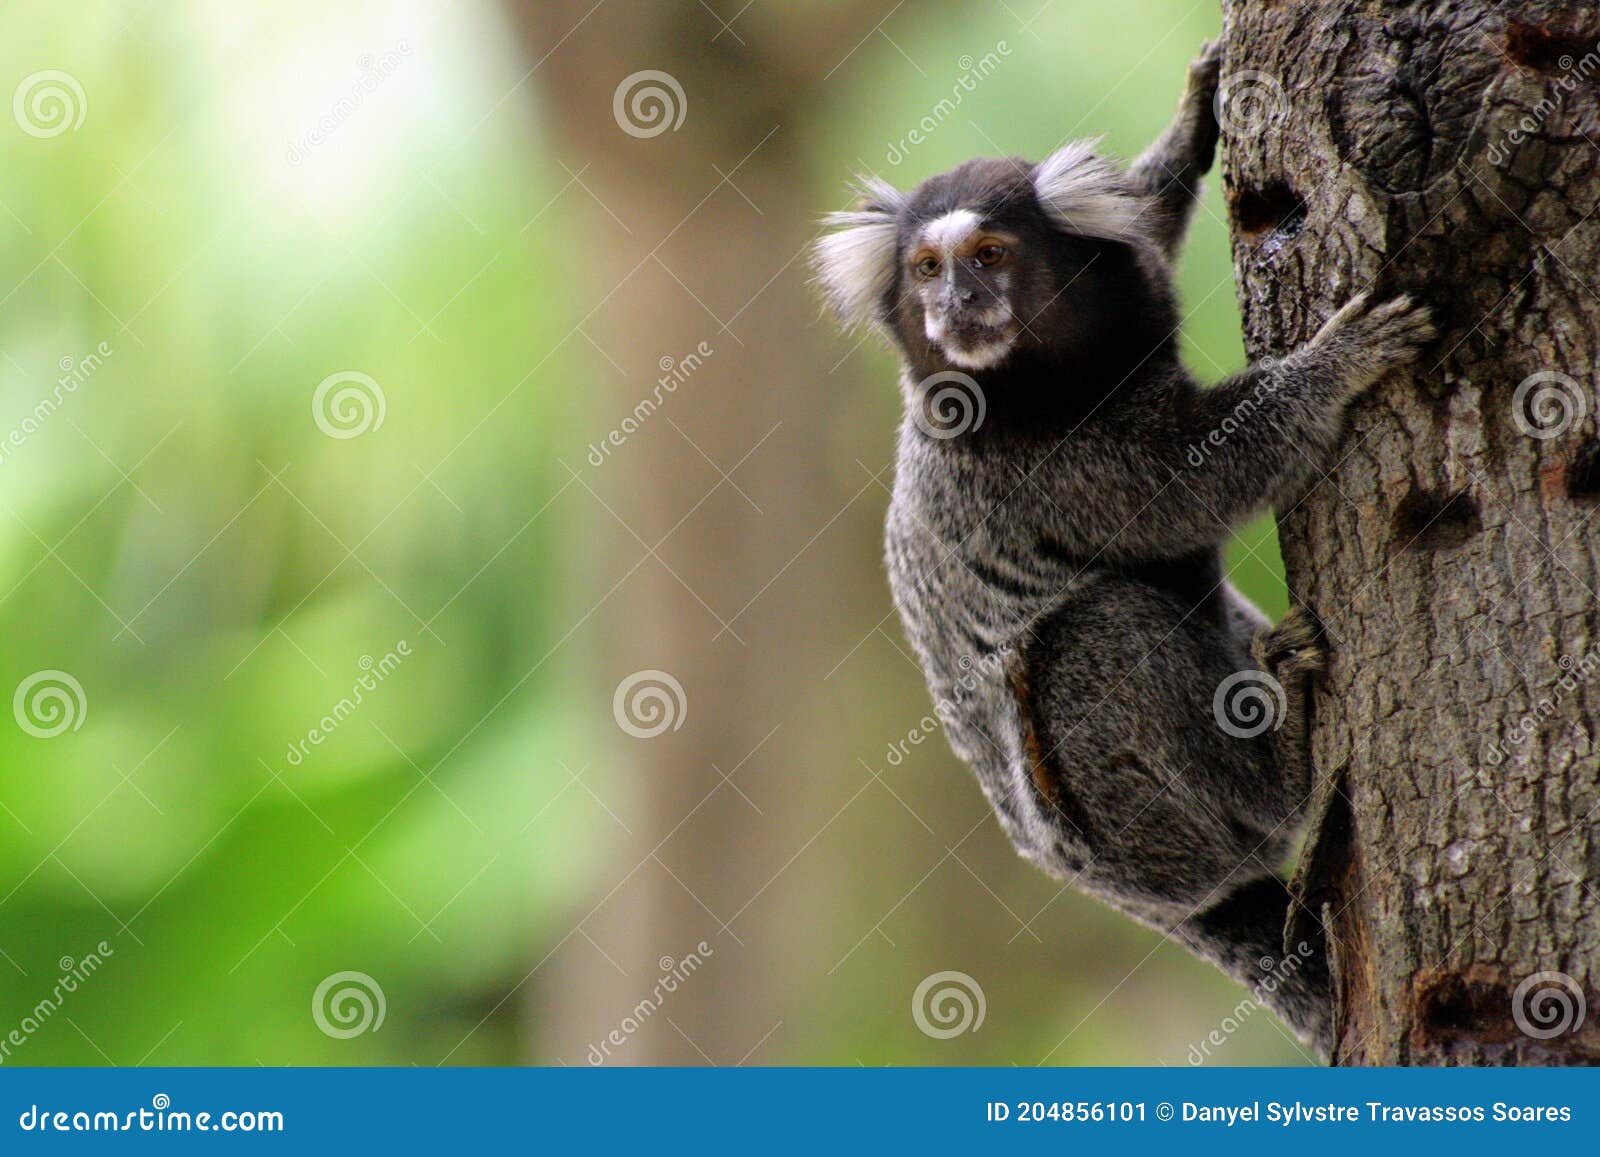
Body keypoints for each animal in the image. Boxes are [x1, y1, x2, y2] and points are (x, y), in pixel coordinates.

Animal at [812, 40, 1435, 1058]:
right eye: (927, 268)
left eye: (989, 256)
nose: (960, 303)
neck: (1044, 382)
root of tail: (1150, 904)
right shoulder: (1044, 470)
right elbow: (1203, 479)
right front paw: (1334, 366)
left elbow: (1146, 216)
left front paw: (1190, 125)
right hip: (1128, 833)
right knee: (1097, 634)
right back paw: (1288, 764)